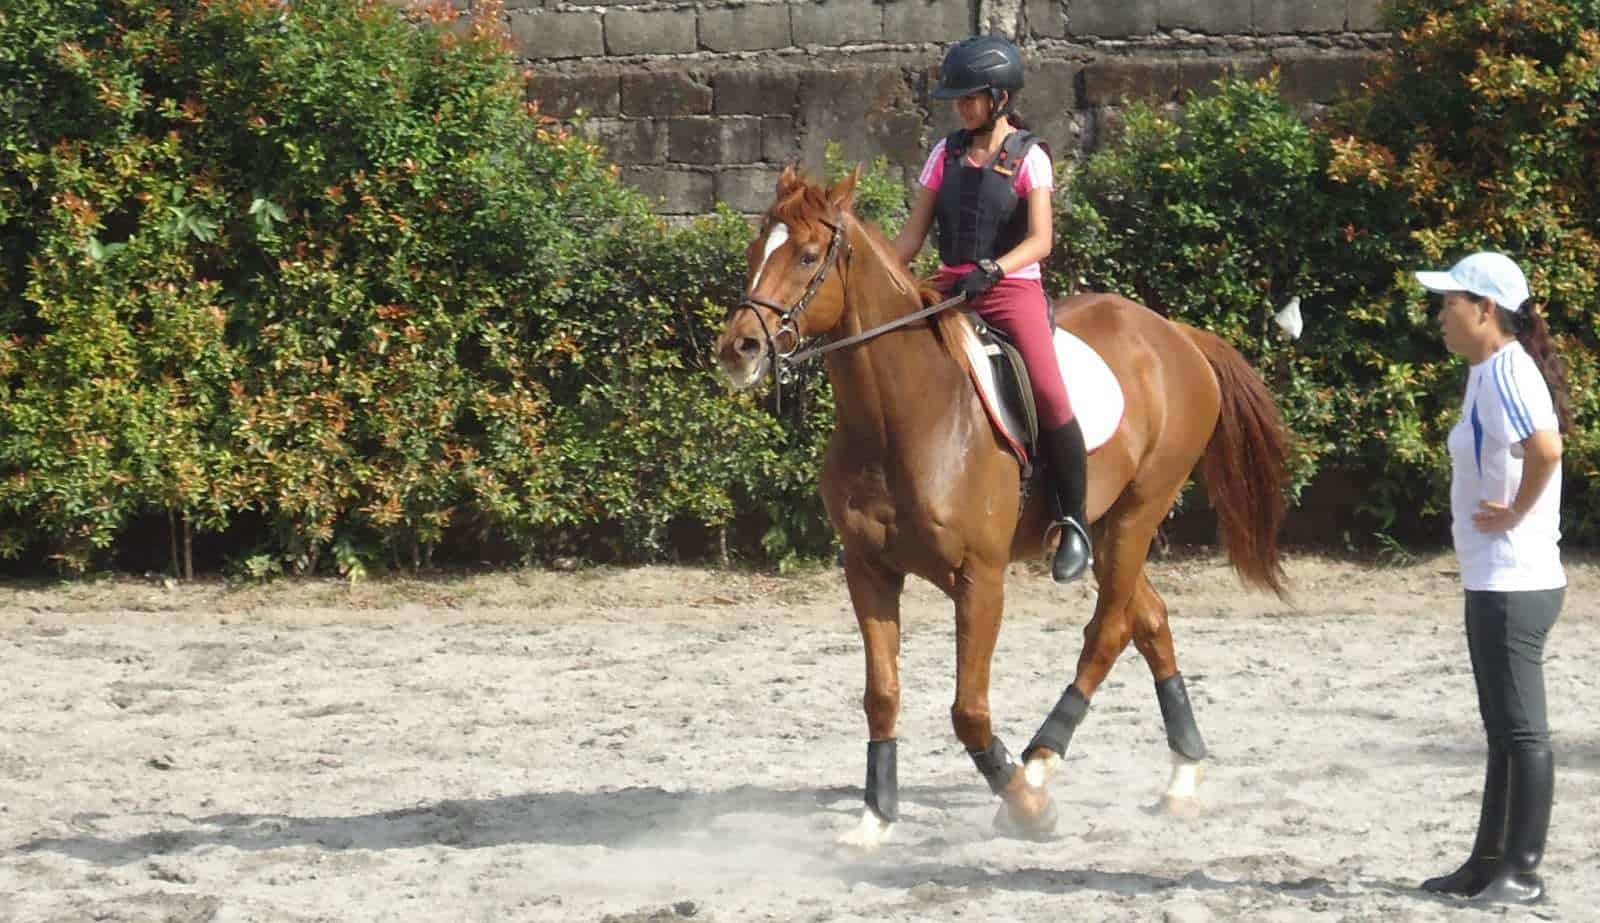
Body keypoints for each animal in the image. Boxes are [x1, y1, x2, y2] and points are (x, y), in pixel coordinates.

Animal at [714, 167, 1290, 848]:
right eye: (756, 251)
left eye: (806, 257)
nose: (739, 348)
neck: (900, 417)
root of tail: (1177, 335)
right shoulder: (868, 571)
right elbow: (882, 695)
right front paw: (875, 818)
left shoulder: (980, 579)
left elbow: (968, 710)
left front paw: (1026, 805)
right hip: (1107, 526)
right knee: (1148, 618)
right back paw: (1182, 773)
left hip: (1137, 516)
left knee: (1108, 630)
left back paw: (1039, 767)